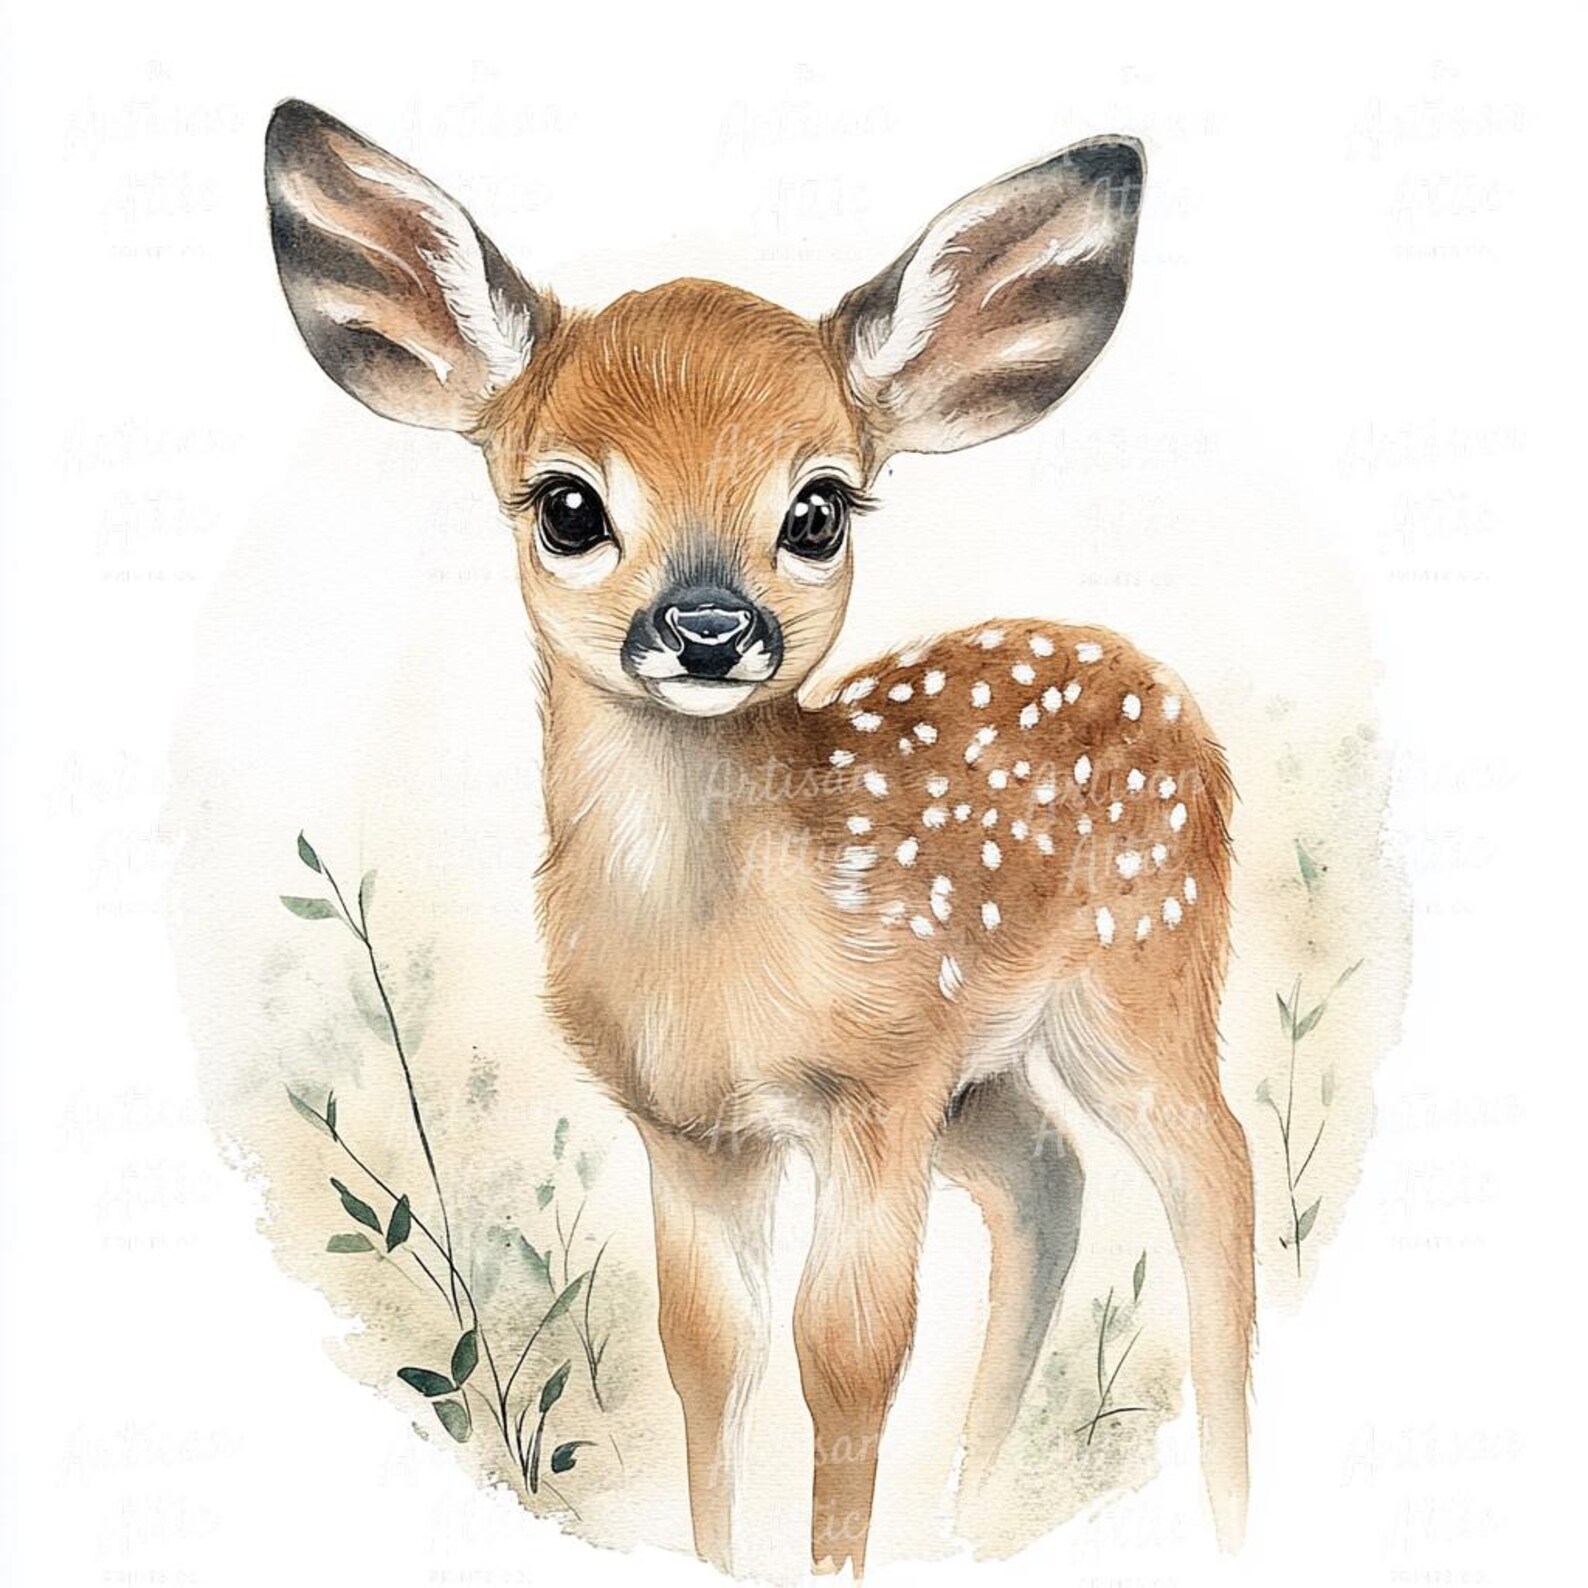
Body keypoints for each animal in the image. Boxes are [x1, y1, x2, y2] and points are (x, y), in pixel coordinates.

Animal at [264, 100, 1255, 1578]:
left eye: (818, 508)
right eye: (568, 504)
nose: (710, 627)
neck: (721, 959)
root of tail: (1159, 681)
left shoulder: (875, 1087)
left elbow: (846, 1360)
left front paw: (835, 1553)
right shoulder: (692, 1129)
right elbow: (709, 1356)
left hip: (1141, 971)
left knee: (1215, 1180)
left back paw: (1223, 1509)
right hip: (987, 1070)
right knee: (1049, 1184)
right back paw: (972, 1516)